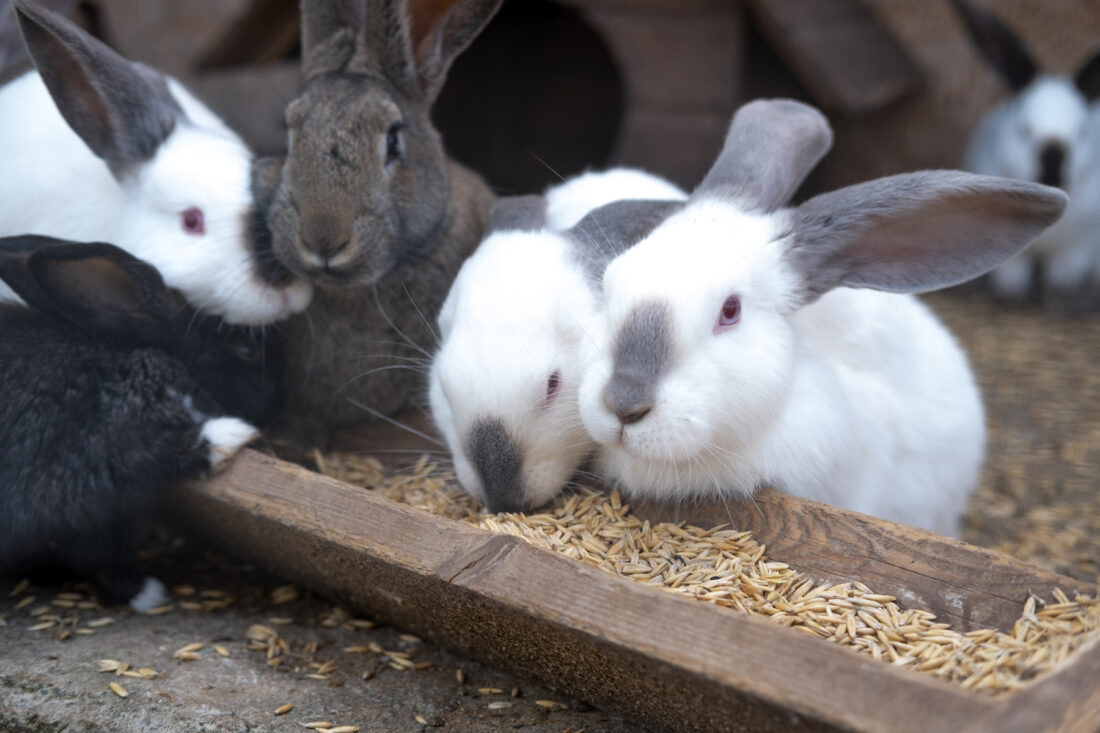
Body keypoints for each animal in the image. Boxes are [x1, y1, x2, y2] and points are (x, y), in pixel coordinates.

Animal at [951, 0, 1100, 301]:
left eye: (1082, 131)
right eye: (1023, 129)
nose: (1053, 161)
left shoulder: (1078, 249)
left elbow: (1063, 278)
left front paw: (1059, 298)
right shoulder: (1006, 250)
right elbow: (1013, 277)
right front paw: (1012, 296)